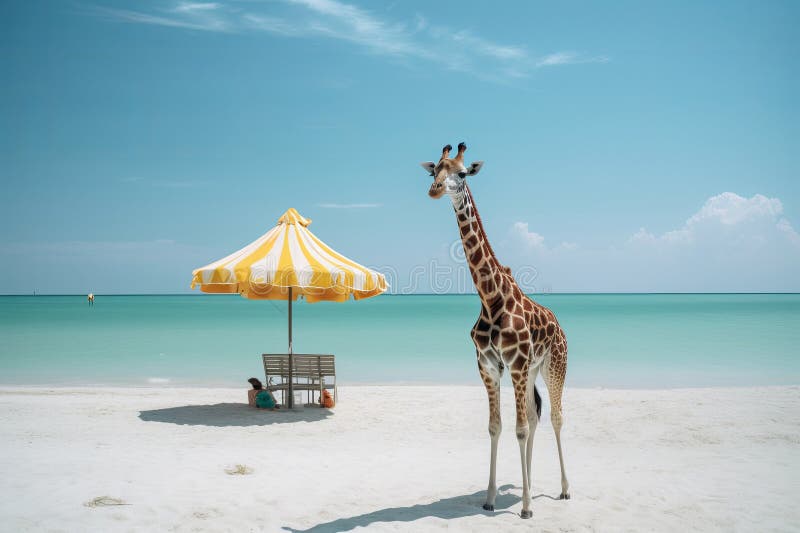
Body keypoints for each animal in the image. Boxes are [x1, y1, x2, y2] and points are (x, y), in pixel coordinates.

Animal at [420, 142, 570, 519]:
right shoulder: (489, 367)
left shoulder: (513, 365)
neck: (490, 297)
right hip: (531, 371)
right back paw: (529, 481)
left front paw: (527, 507)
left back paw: (563, 489)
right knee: (534, 415)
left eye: (461, 173)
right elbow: (497, 427)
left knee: (556, 417)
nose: (435, 190)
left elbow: (518, 429)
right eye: (434, 171)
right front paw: (489, 499)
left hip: (554, 366)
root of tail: (560, 326)